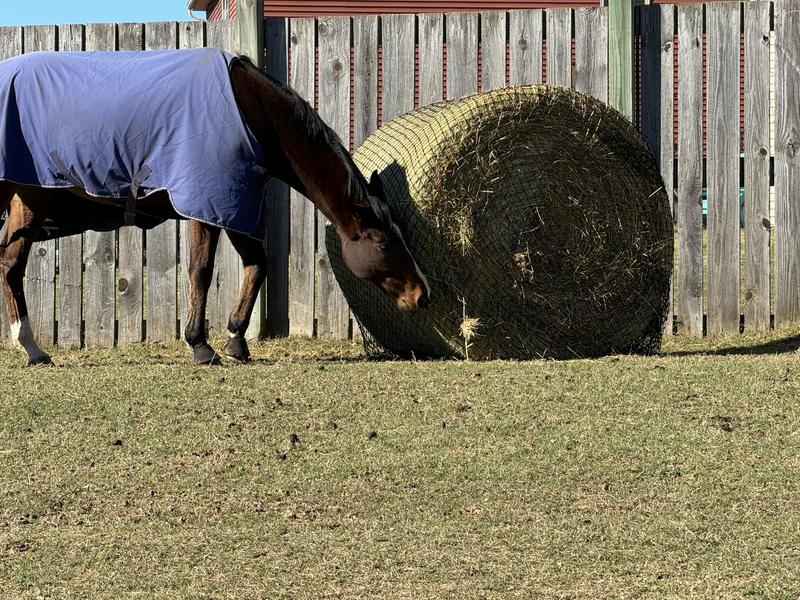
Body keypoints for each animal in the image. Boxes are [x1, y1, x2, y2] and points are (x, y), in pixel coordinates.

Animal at [0, 48, 430, 366]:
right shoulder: (206, 204)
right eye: (382, 242)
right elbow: (201, 271)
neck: (249, 109)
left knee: (10, 264)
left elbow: (257, 266)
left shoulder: (233, 204)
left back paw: (32, 349)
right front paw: (200, 344)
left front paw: (236, 339)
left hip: (27, 198)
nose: (422, 295)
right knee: (13, 264)